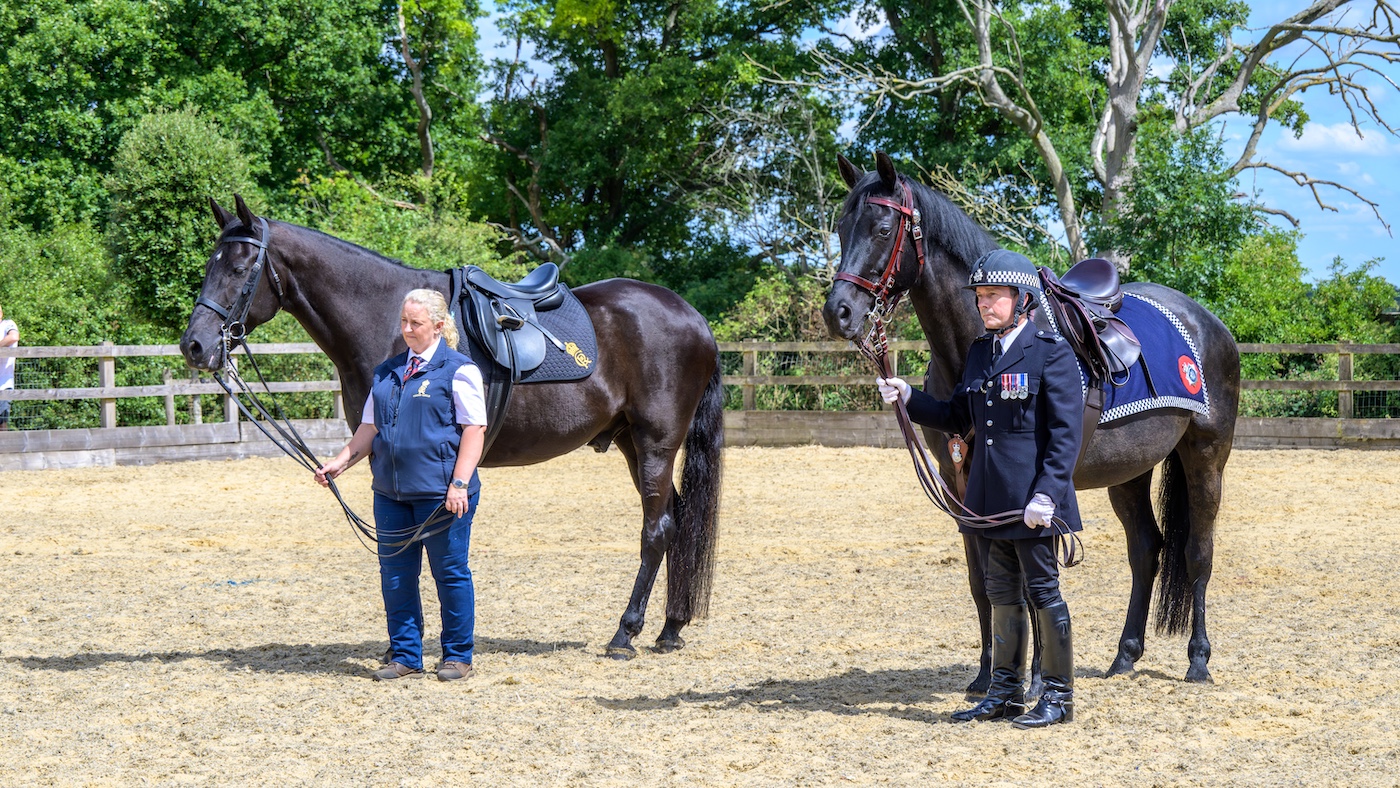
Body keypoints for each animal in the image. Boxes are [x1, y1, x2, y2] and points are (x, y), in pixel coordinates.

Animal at [180, 195, 724, 660]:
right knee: (675, 520)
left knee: (657, 529)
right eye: (210, 265)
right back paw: (671, 627)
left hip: (656, 442)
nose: (194, 345)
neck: (386, 318)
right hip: (632, 441)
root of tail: (692, 317)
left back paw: (625, 633)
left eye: (239, 268)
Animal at [824, 153, 1240, 688]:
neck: (985, 349)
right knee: (1146, 550)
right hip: (1129, 471)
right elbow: (983, 584)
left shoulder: (1032, 491)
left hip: (1206, 457)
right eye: (840, 229)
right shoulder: (966, 490)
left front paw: (1038, 680)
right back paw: (1124, 656)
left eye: (881, 228)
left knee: (1196, 553)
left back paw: (1198, 660)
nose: (839, 313)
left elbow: (1030, 583)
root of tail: (1208, 323)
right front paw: (988, 675)